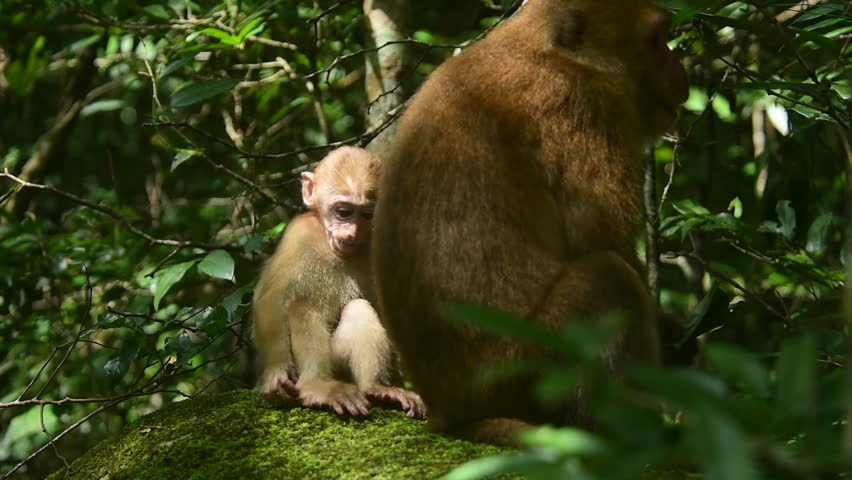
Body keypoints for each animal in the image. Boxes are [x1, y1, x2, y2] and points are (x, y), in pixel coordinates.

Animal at [253, 146, 425, 419]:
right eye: (343, 212)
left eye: (367, 214)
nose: (352, 233)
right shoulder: (298, 235)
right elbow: (272, 299)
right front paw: (276, 372)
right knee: (299, 306)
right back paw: (317, 387)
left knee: (358, 308)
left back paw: (378, 388)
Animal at [372, 0, 689, 445]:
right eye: (656, 40)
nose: (682, 74)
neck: (546, 49)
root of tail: (451, 414)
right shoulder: (588, 104)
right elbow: (601, 239)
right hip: (532, 365)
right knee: (607, 277)